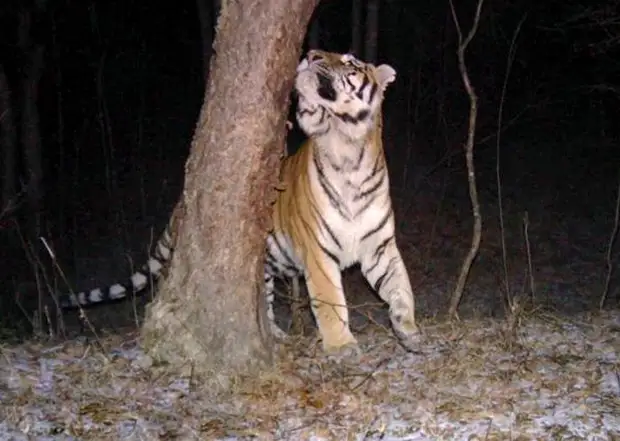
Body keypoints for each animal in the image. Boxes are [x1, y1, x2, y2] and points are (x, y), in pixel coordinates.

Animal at [58, 50, 418, 354]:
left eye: (349, 62)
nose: (312, 53)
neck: (348, 149)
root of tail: (180, 205)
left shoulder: (379, 246)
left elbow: (401, 285)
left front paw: (407, 329)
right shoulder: (318, 252)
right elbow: (330, 300)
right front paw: (342, 347)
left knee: (267, 305)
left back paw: (277, 337)